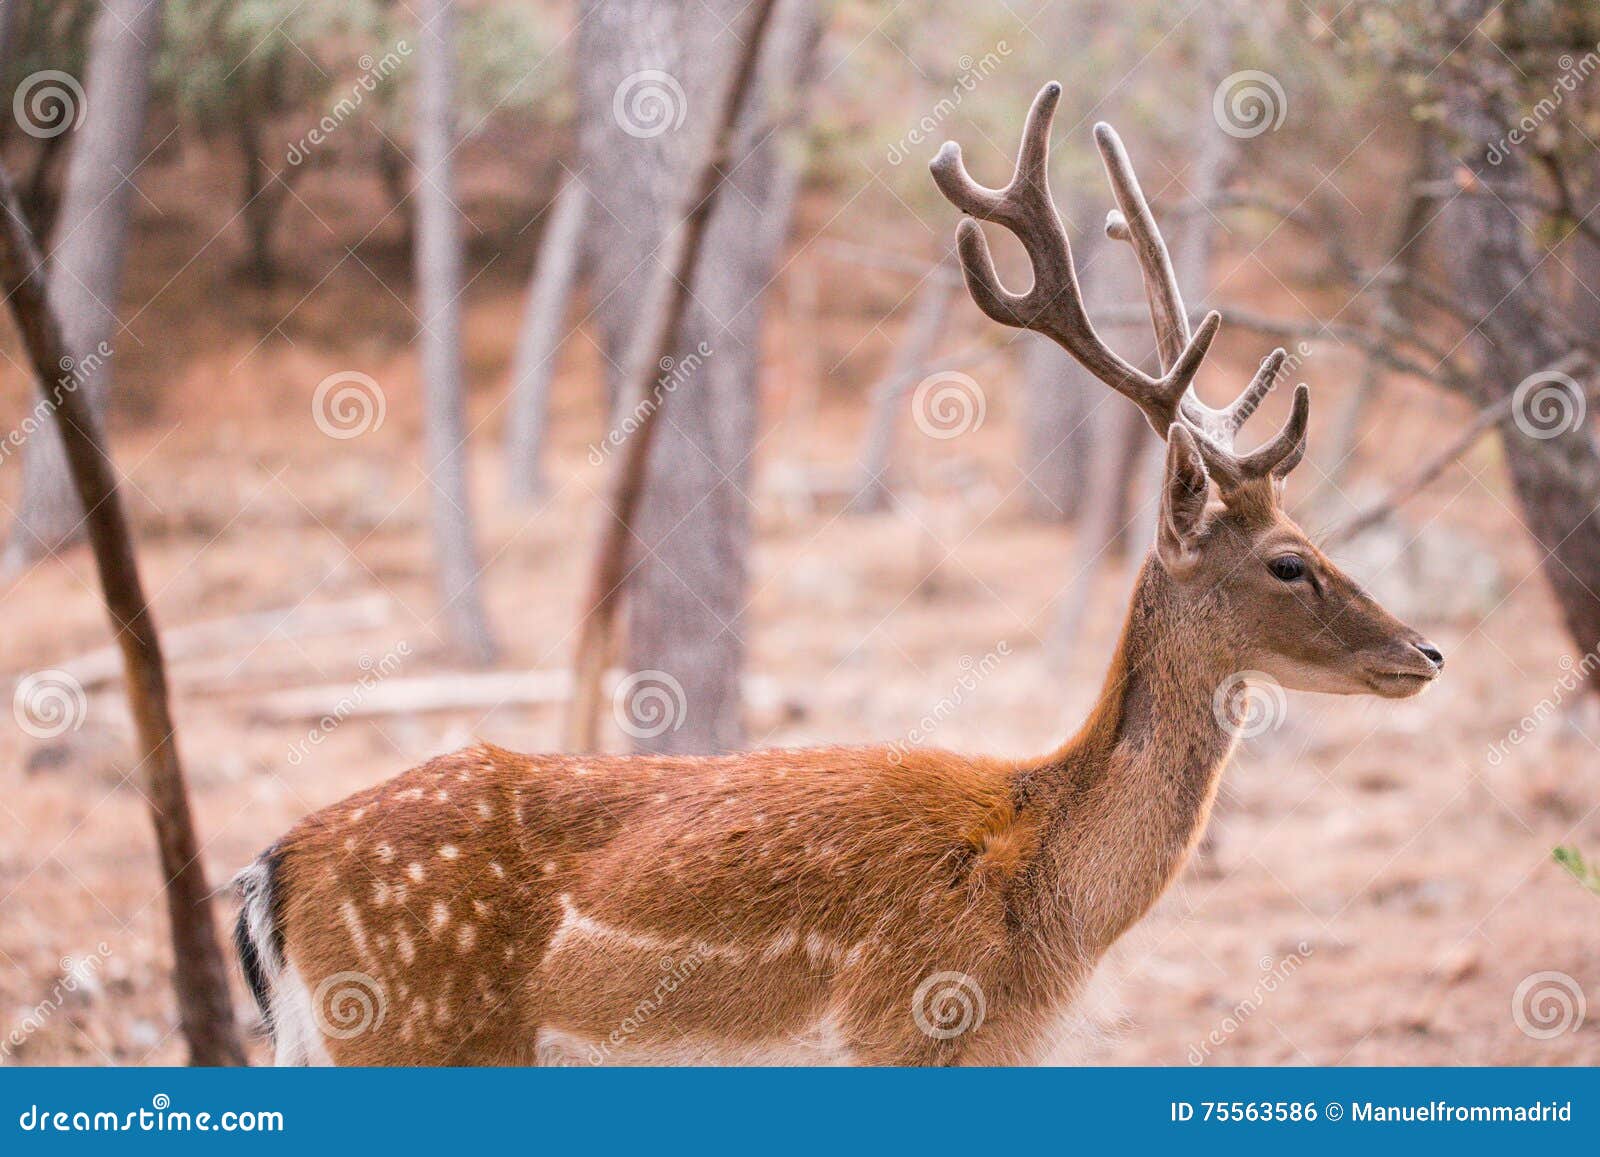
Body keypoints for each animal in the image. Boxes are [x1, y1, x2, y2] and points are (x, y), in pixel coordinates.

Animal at [233, 83, 1444, 1066]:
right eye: (1290, 561)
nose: (1425, 650)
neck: (1047, 914)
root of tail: (271, 871)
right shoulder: (904, 1025)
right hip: (418, 1030)